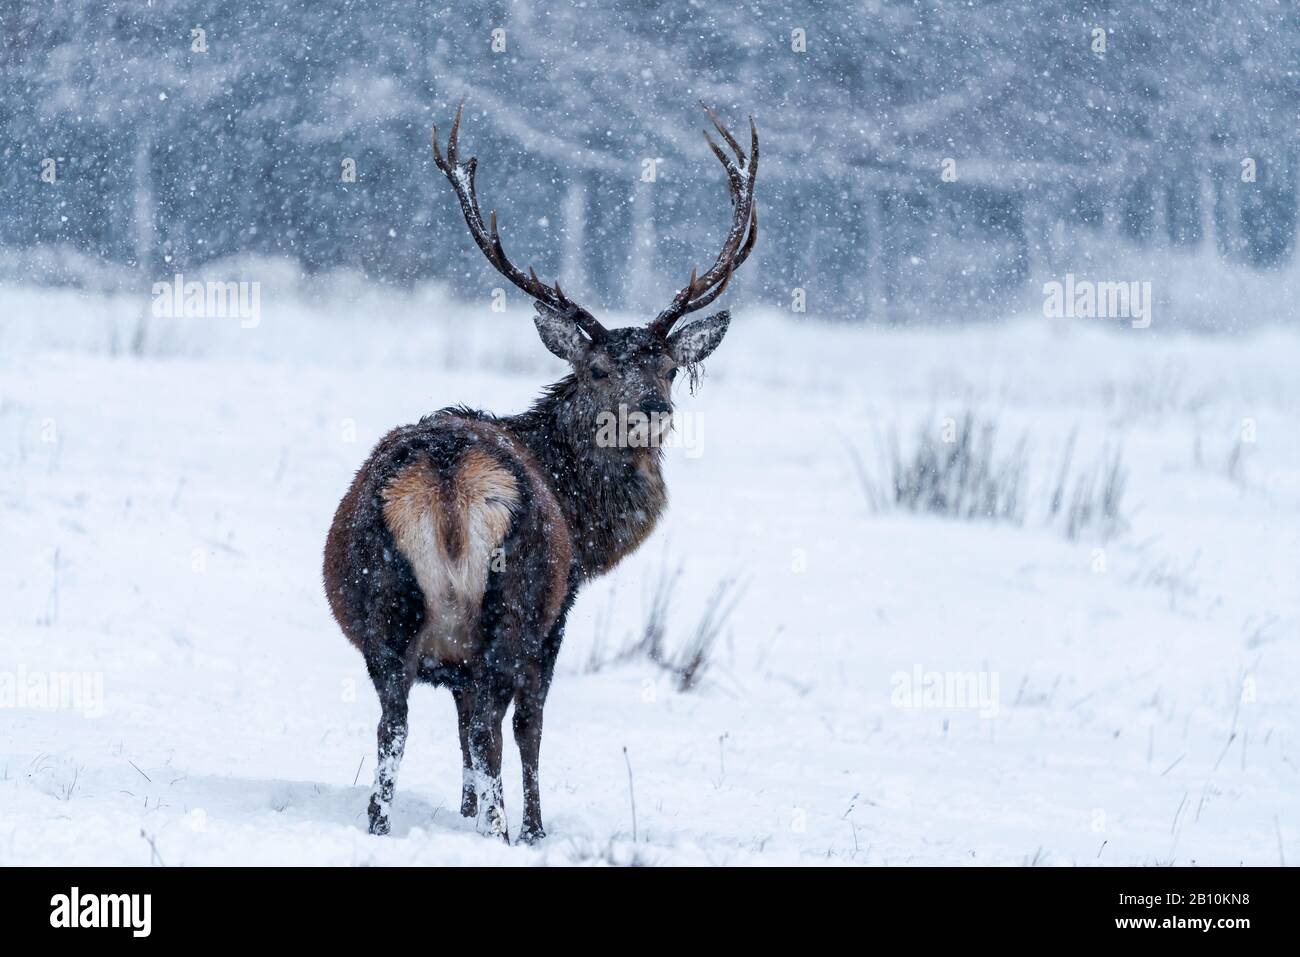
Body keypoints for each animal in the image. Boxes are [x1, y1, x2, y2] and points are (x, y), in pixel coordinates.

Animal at [323, 102, 758, 843]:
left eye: (669, 367)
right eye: (598, 368)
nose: (653, 408)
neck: (586, 525)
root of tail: (447, 478)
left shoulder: (450, 660)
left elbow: (461, 736)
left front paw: (464, 811)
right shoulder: (559, 608)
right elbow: (524, 727)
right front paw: (531, 828)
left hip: (383, 607)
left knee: (394, 730)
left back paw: (384, 826)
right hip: (514, 603)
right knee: (498, 726)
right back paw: (507, 831)